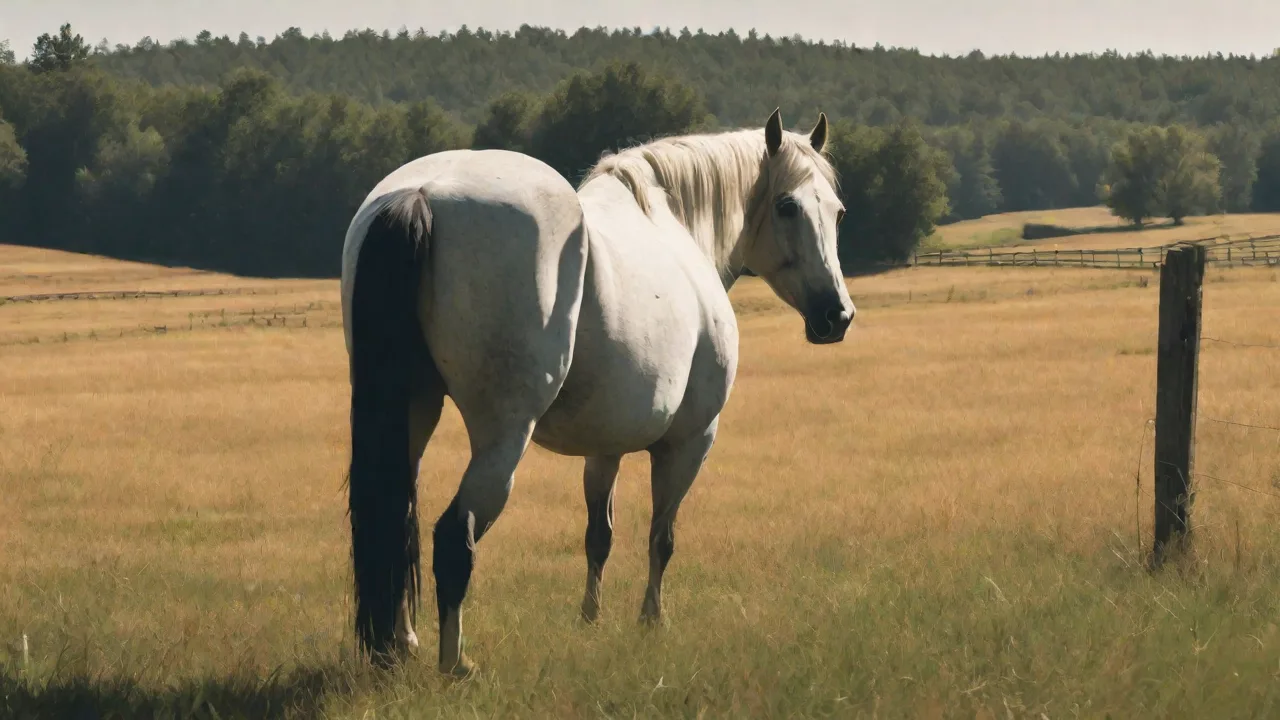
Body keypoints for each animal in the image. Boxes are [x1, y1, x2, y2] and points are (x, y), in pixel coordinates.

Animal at [340, 107, 855, 675]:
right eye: (788, 206)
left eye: (837, 212)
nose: (837, 315)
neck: (677, 226)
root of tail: (424, 194)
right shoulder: (689, 441)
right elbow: (661, 536)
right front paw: (651, 621)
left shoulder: (605, 448)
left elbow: (598, 536)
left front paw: (591, 618)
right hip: (503, 438)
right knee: (455, 536)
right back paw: (456, 664)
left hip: (414, 414)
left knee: (398, 524)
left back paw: (402, 644)